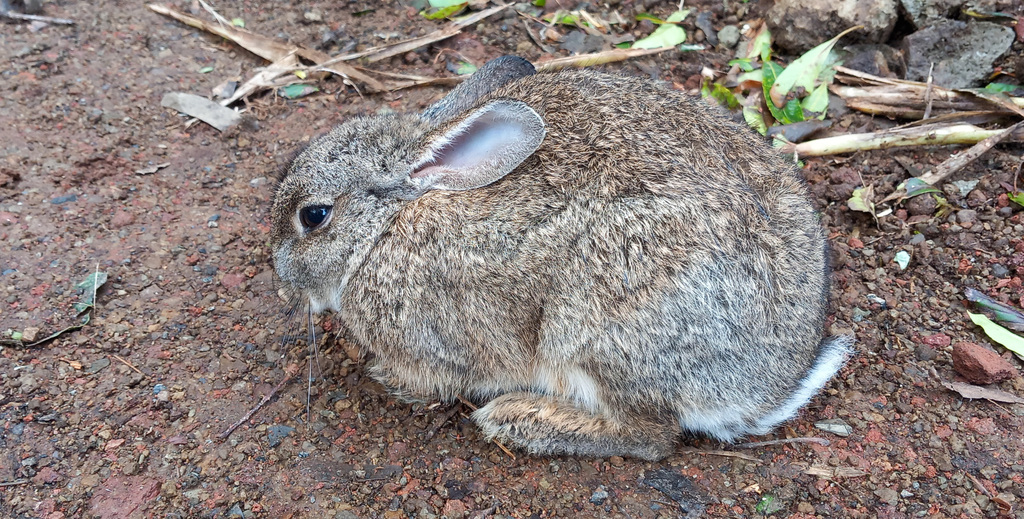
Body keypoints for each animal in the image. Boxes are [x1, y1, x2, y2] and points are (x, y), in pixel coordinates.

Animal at [270, 55, 853, 461]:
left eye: (313, 216)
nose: (281, 278)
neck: (390, 221)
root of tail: (768, 389)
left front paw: (385, 375)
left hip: (600, 336)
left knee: (650, 436)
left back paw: (519, 419)